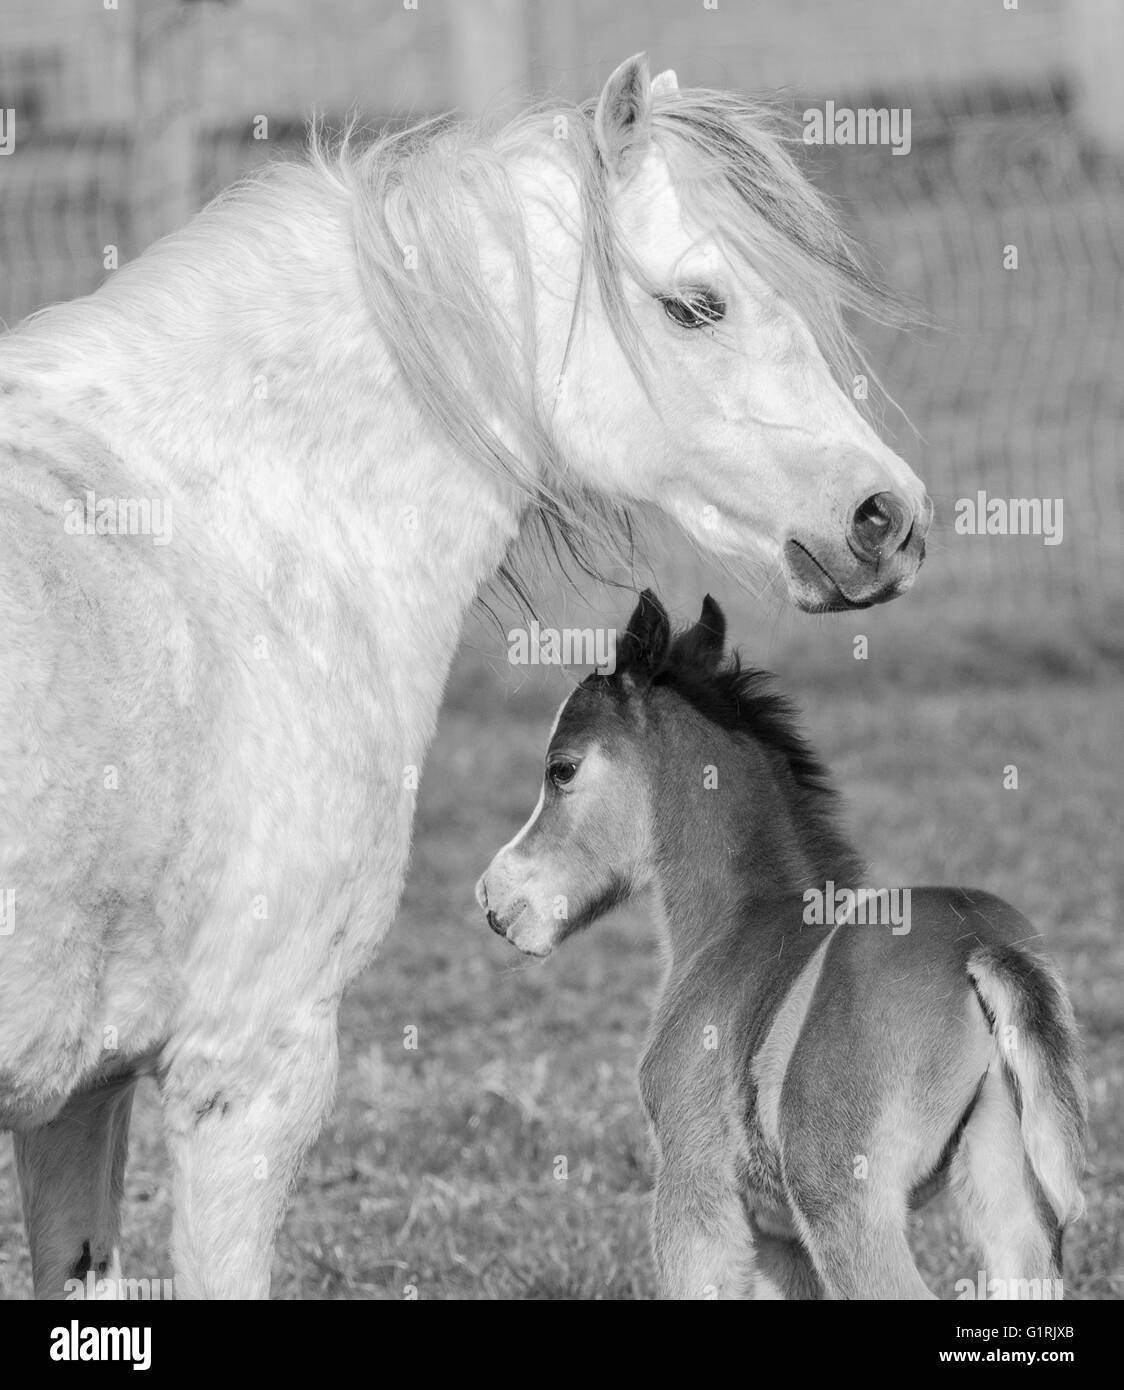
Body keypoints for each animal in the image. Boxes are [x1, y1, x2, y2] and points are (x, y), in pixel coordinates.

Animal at [475, 591, 1087, 1300]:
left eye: (562, 769)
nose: (493, 898)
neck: (737, 925)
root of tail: (980, 947)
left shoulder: (695, 1192)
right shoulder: (781, 1239)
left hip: (844, 1204)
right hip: (1012, 1200)